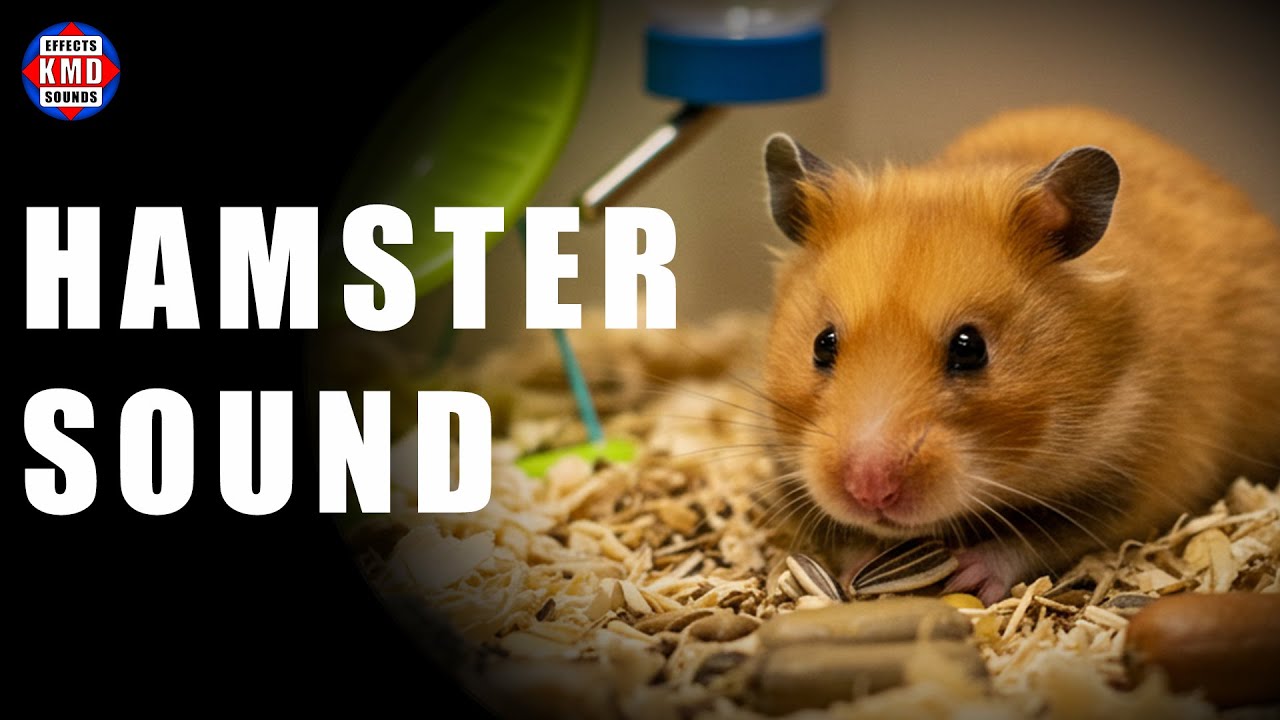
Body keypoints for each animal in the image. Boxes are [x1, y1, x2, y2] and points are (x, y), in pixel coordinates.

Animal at [760, 106, 1280, 604]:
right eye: (822, 343)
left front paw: (967, 575)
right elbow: (844, 537)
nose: (869, 490)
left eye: (971, 348)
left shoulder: (1142, 483)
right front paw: (859, 572)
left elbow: (1037, 538)